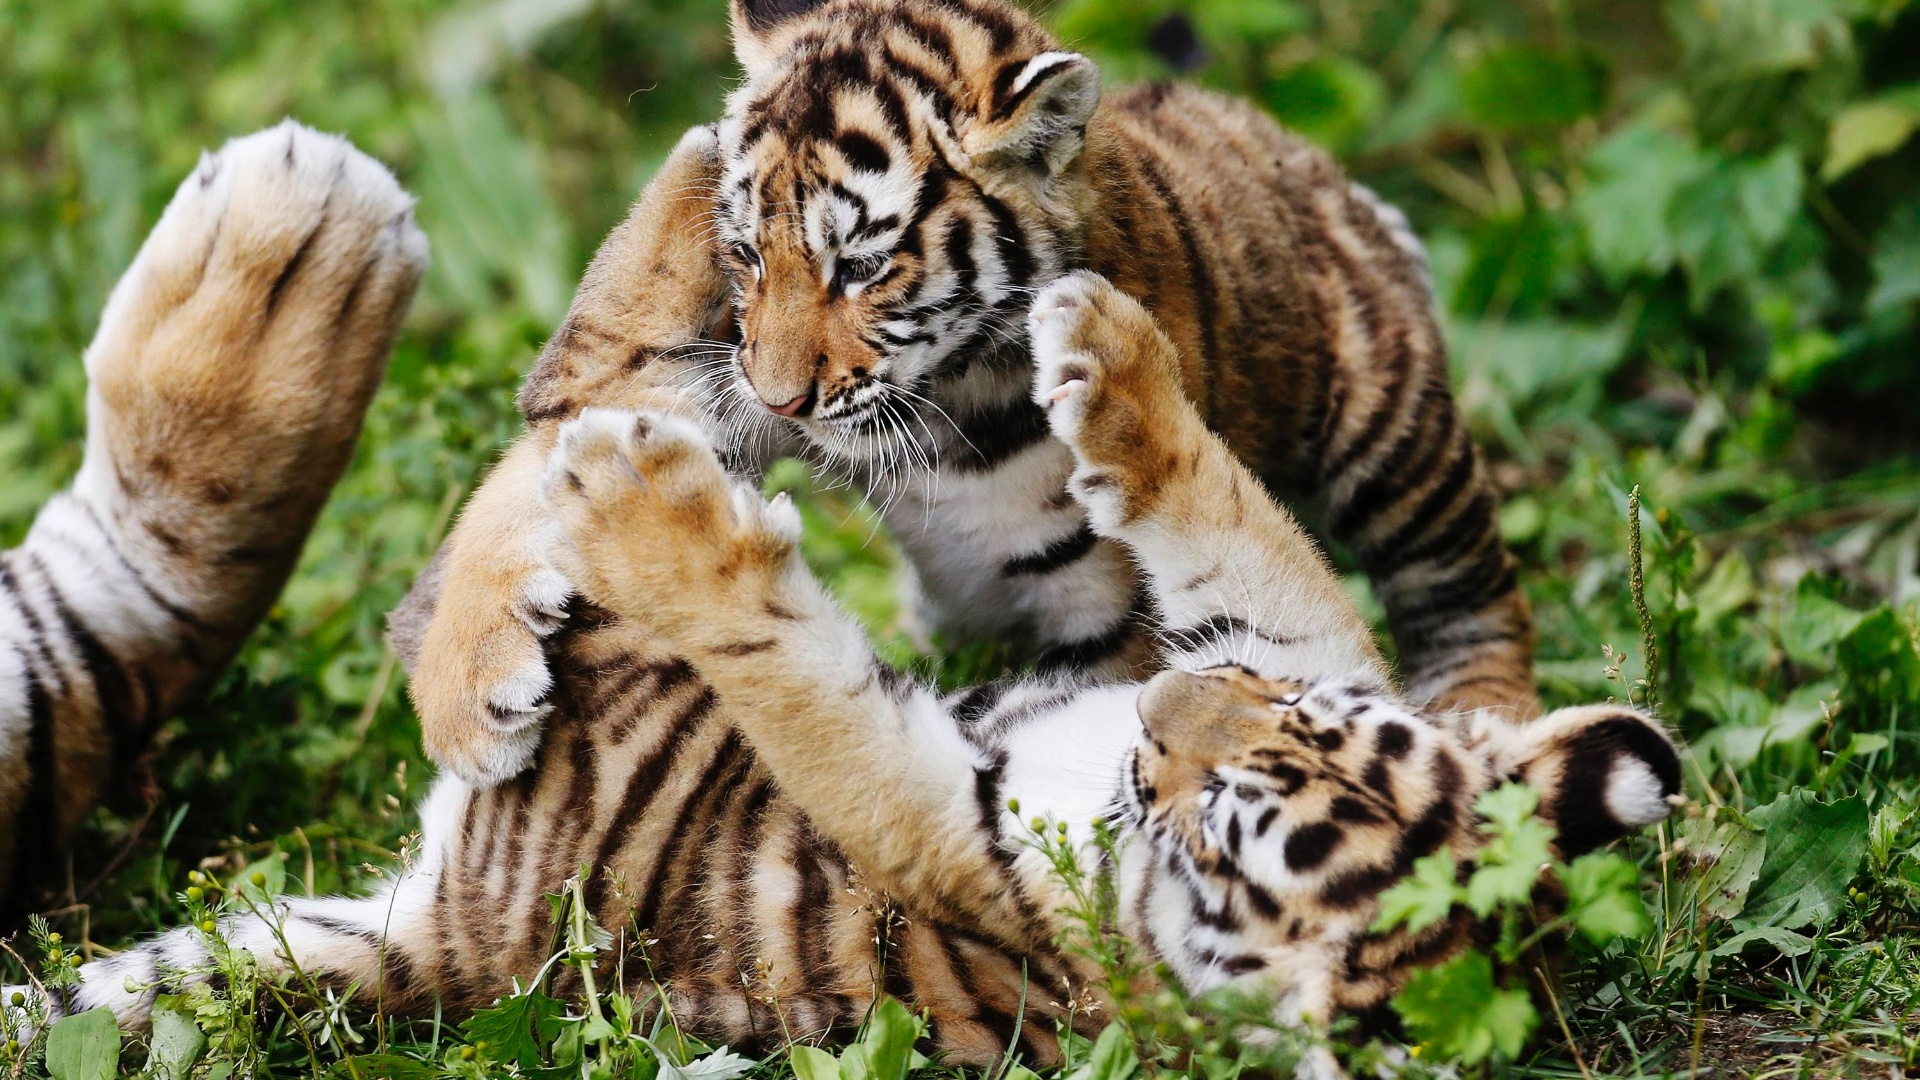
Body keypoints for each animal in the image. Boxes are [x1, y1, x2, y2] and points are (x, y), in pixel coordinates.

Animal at [11, 273, 1680, 1074]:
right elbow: (1233, 522)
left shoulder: (943, 827)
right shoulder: (1300, 642)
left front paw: (658, 515)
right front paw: (1109, 357)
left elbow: (793, 669)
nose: (1157, 705)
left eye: (1222, 838)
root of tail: (447, 950)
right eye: (1284, 723)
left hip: (582, 706)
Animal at [396, 0, 1541, 790]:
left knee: (1468, 578)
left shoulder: (1114, 610)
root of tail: (1299, 152)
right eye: (747, 254)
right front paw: (466, 701)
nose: (780, 402)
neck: (938, 387)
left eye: (861, 268)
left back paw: (1484, 713)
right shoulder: (710, 380)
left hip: (1387, 425)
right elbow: (526, 485)